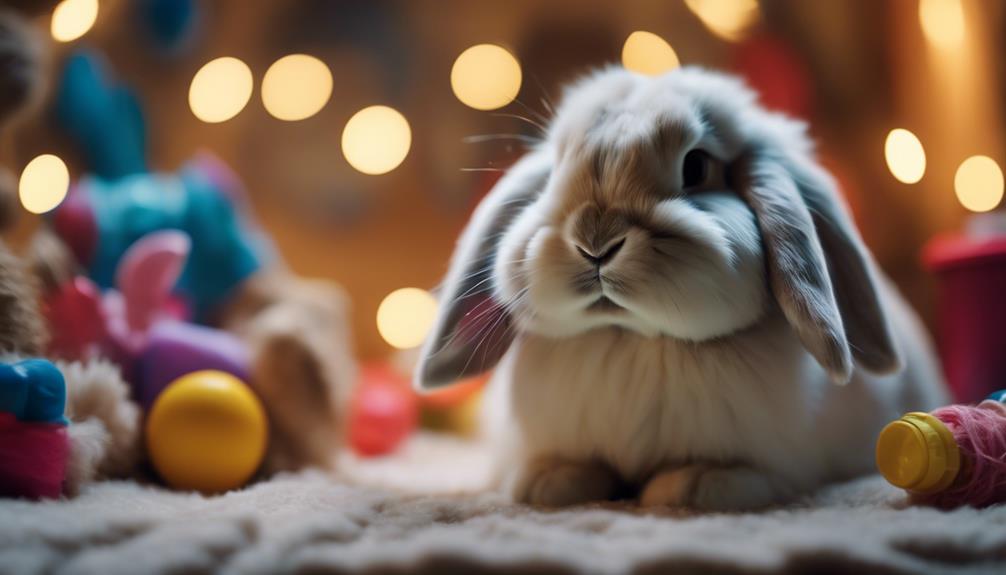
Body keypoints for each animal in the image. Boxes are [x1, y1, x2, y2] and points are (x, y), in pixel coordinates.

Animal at [415, 66, 949, 511]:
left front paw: (690, 487)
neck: (631, 338)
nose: (595, 241)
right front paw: (548, 482)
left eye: (696, 167)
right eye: (554, 175)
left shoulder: (776, 462)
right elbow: (569, 467)